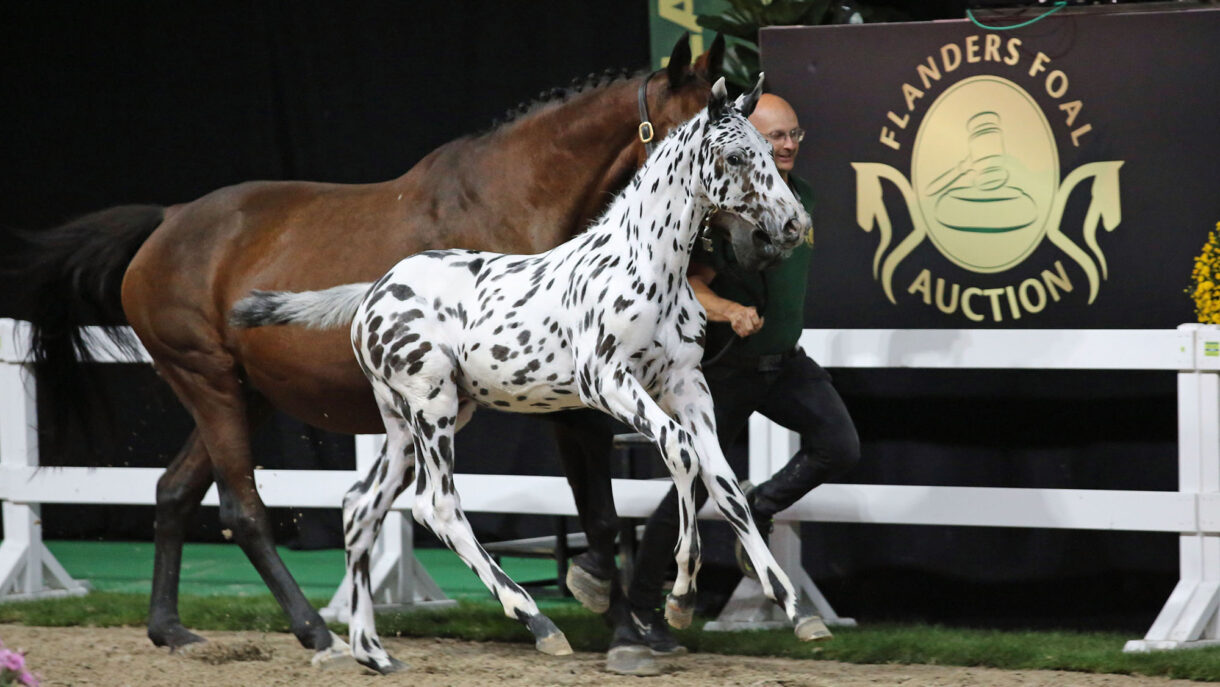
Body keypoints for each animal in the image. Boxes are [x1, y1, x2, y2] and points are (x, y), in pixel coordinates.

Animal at [17, 35, 723, 664]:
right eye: (692, 134)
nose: (738, 245)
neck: (515, 206)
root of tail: (165, 222)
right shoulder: (567, 399)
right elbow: (599, 514)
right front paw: (622, 626)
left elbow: (606, 509)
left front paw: (630, 616)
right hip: (208, 382)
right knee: (242, 509)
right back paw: (319, 635)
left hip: (247, 394)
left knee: (172, 492)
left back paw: (173, 629)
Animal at [230, 75, 826, 674]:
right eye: (735, 155)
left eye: (771, 148)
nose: (792, 226)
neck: (645, 266)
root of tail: (373, 290)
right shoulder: (606, 382)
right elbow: (679, 454)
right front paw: (679, 598)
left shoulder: (686, 384)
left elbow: (725, 485)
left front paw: (791, 607)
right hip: (432, 405)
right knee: (436, 506)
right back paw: (536, 620)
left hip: (409, 422)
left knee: (360, 507)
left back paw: (371, 651)